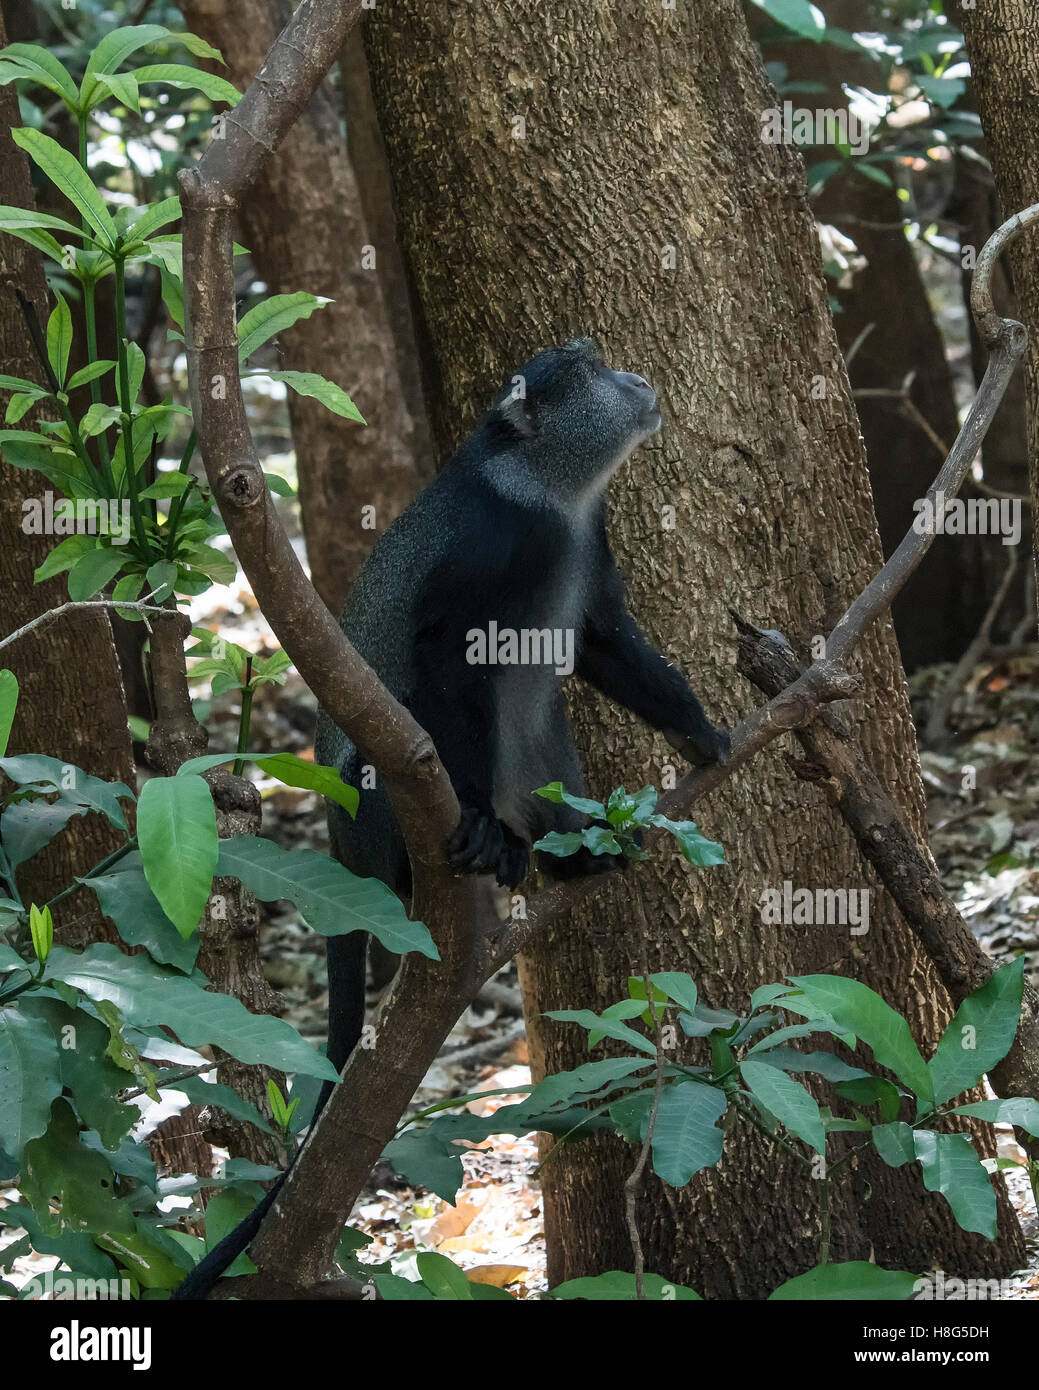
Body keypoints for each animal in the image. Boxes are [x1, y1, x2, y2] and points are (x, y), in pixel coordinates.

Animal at [172, 338, 727, 1299]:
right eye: (588, 370)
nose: (635, 381)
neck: (547, 491)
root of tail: (343, 851)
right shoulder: (491, 544)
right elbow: (442, 655)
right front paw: (476, 825)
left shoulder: (587, 544)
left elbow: (601, 640)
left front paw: (697, 734)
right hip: (375, 808)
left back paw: (571, 856)